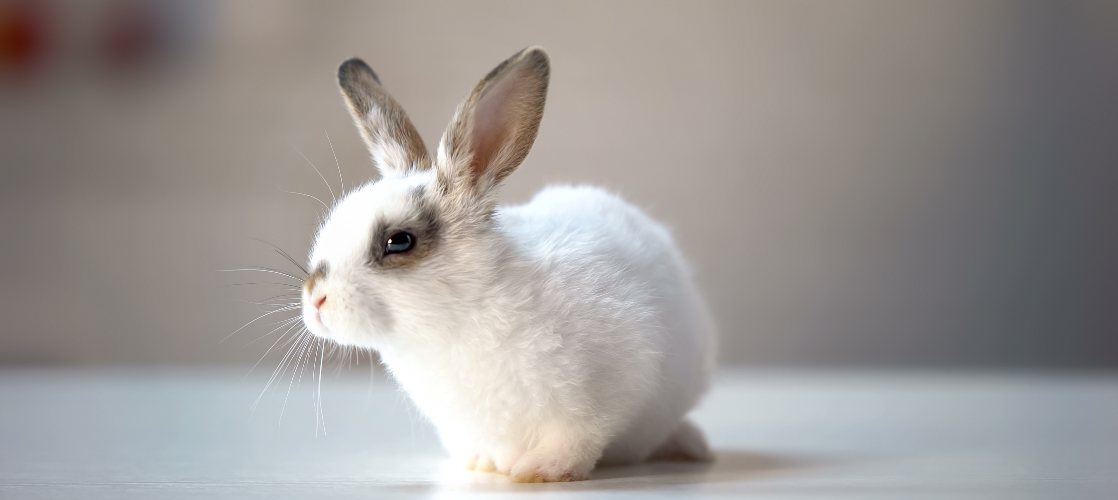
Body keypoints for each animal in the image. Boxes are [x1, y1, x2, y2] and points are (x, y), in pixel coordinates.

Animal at [300, 46, 716, 482]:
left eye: (398, 241)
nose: (315, 299)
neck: (464, 313)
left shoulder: (601, 392)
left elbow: (579, 439)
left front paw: (538, 470)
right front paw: (484, 463)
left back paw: (692, 446)